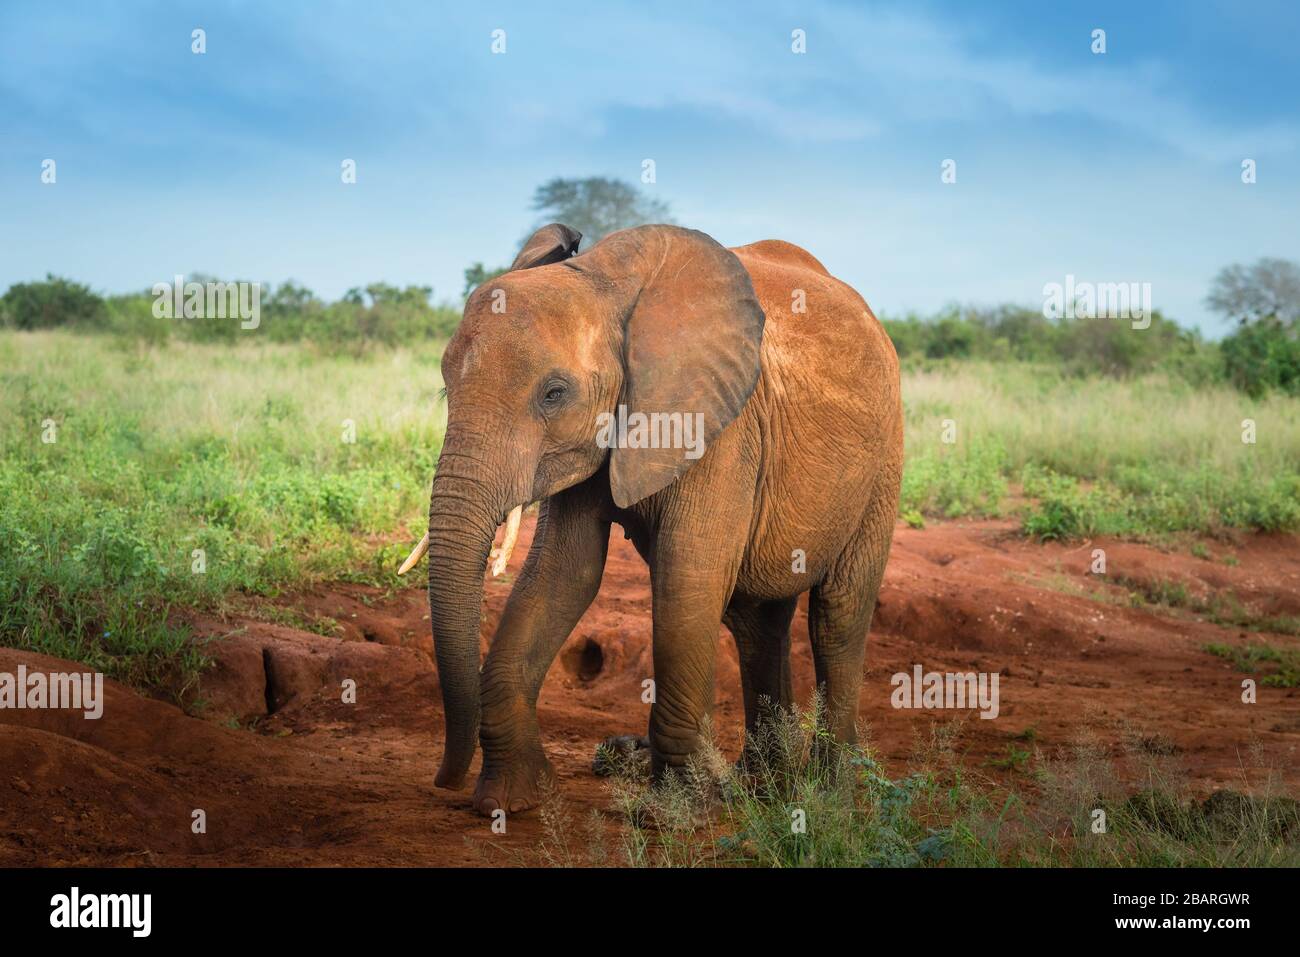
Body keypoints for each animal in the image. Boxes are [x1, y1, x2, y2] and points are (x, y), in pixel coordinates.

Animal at [401, 222, 902, 816]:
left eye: (554, 394)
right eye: (445, 388)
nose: (444, 781)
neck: (603, 282)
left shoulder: (720, 427)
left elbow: (688, 578)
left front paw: (670, 813)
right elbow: (561, 576)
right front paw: (510, 802)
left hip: (884, 460)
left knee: (837, 615)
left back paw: (827, 796)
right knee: (756, 620)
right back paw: (763, 789)